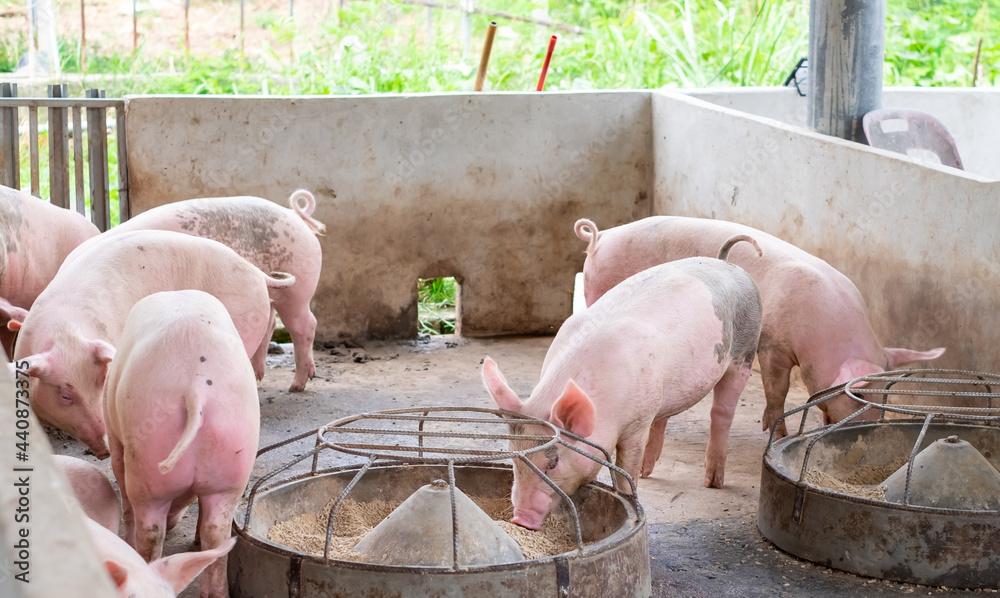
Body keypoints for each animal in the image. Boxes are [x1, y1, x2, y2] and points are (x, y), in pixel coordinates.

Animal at [63, 190, 325, 392]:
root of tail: (296, 216)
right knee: (270, 322)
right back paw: (259, 376)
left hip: (299, 285)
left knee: (305, 324)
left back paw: (297, 385)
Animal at [104, 290, 259, 598]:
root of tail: (195, 386)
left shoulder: (115, 441)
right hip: (234, 453)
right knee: (216, 532)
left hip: (146, 459)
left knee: (150, 530)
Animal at [483, 235, 763, 530]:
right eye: (514, 457)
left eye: (552, 464)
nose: (520, 520)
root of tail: (726, 262)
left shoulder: (636, 424)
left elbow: (625, 469)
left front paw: (631, 500)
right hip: (663, 388)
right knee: (664, 416)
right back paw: (648, 470)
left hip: (746, 348)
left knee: (722, 411)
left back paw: (713, 482)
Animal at [575, 216, 945, 438]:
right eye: (861, 394)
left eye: (885, 395)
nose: (864, 432)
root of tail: (601, 236)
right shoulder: (773, 346)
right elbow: (775, 390)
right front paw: (774, 431)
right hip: (600, 290)